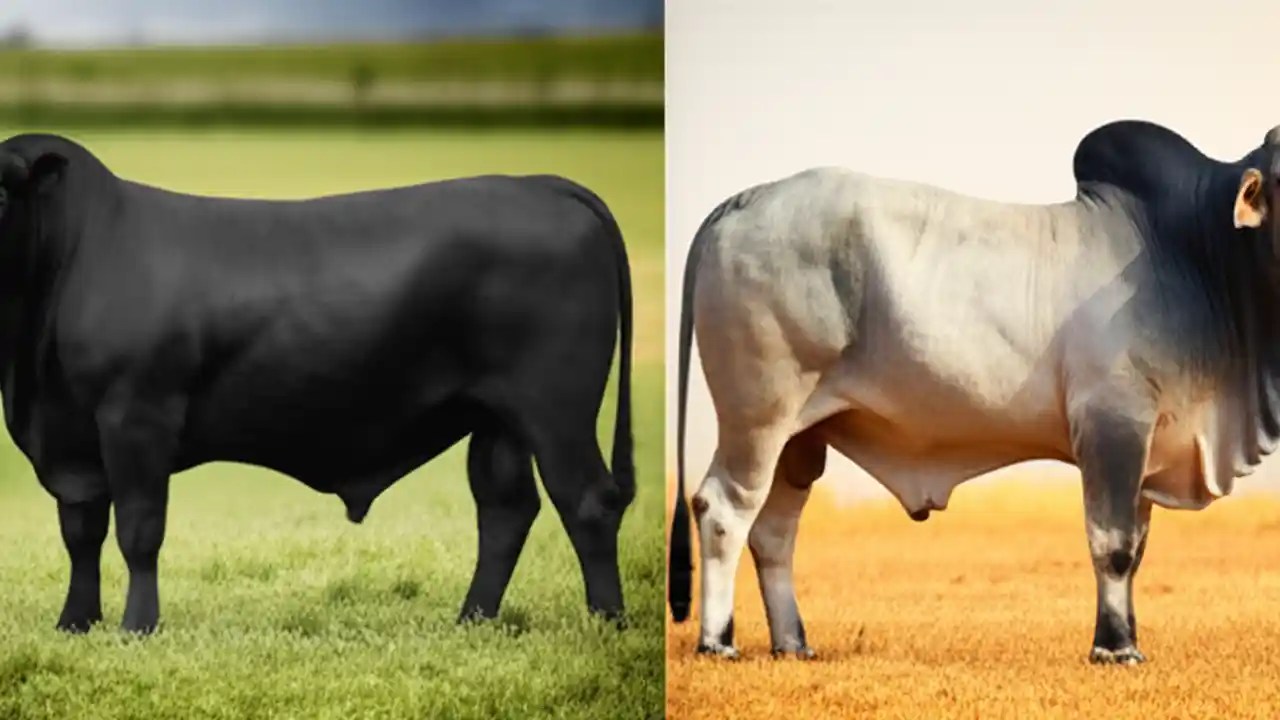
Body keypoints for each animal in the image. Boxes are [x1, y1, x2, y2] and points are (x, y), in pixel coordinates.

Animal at [0, 133, 634, 634]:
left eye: (3, 188)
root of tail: (540, 184)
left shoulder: (137, 414)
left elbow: (138, 530)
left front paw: (137, 627)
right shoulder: (73, 440)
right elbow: (80, 533)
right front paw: (75, 623)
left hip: (557, 409)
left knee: (586, 503)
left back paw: (606, 623)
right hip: (498, 416)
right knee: (505, 508)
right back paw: (472, 620)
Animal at [668, 120, 1280, 664]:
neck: (1194, 251)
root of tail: (744, 200)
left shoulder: (1148, 444)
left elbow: (1138, 547)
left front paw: (1125, 637)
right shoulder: (1114, 421)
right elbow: (1114, 545)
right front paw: (1115, 648)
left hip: (802, 436)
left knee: (775, 529)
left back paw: (793, 643)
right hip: (759, 417)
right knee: (724, 508)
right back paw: (718, 641)